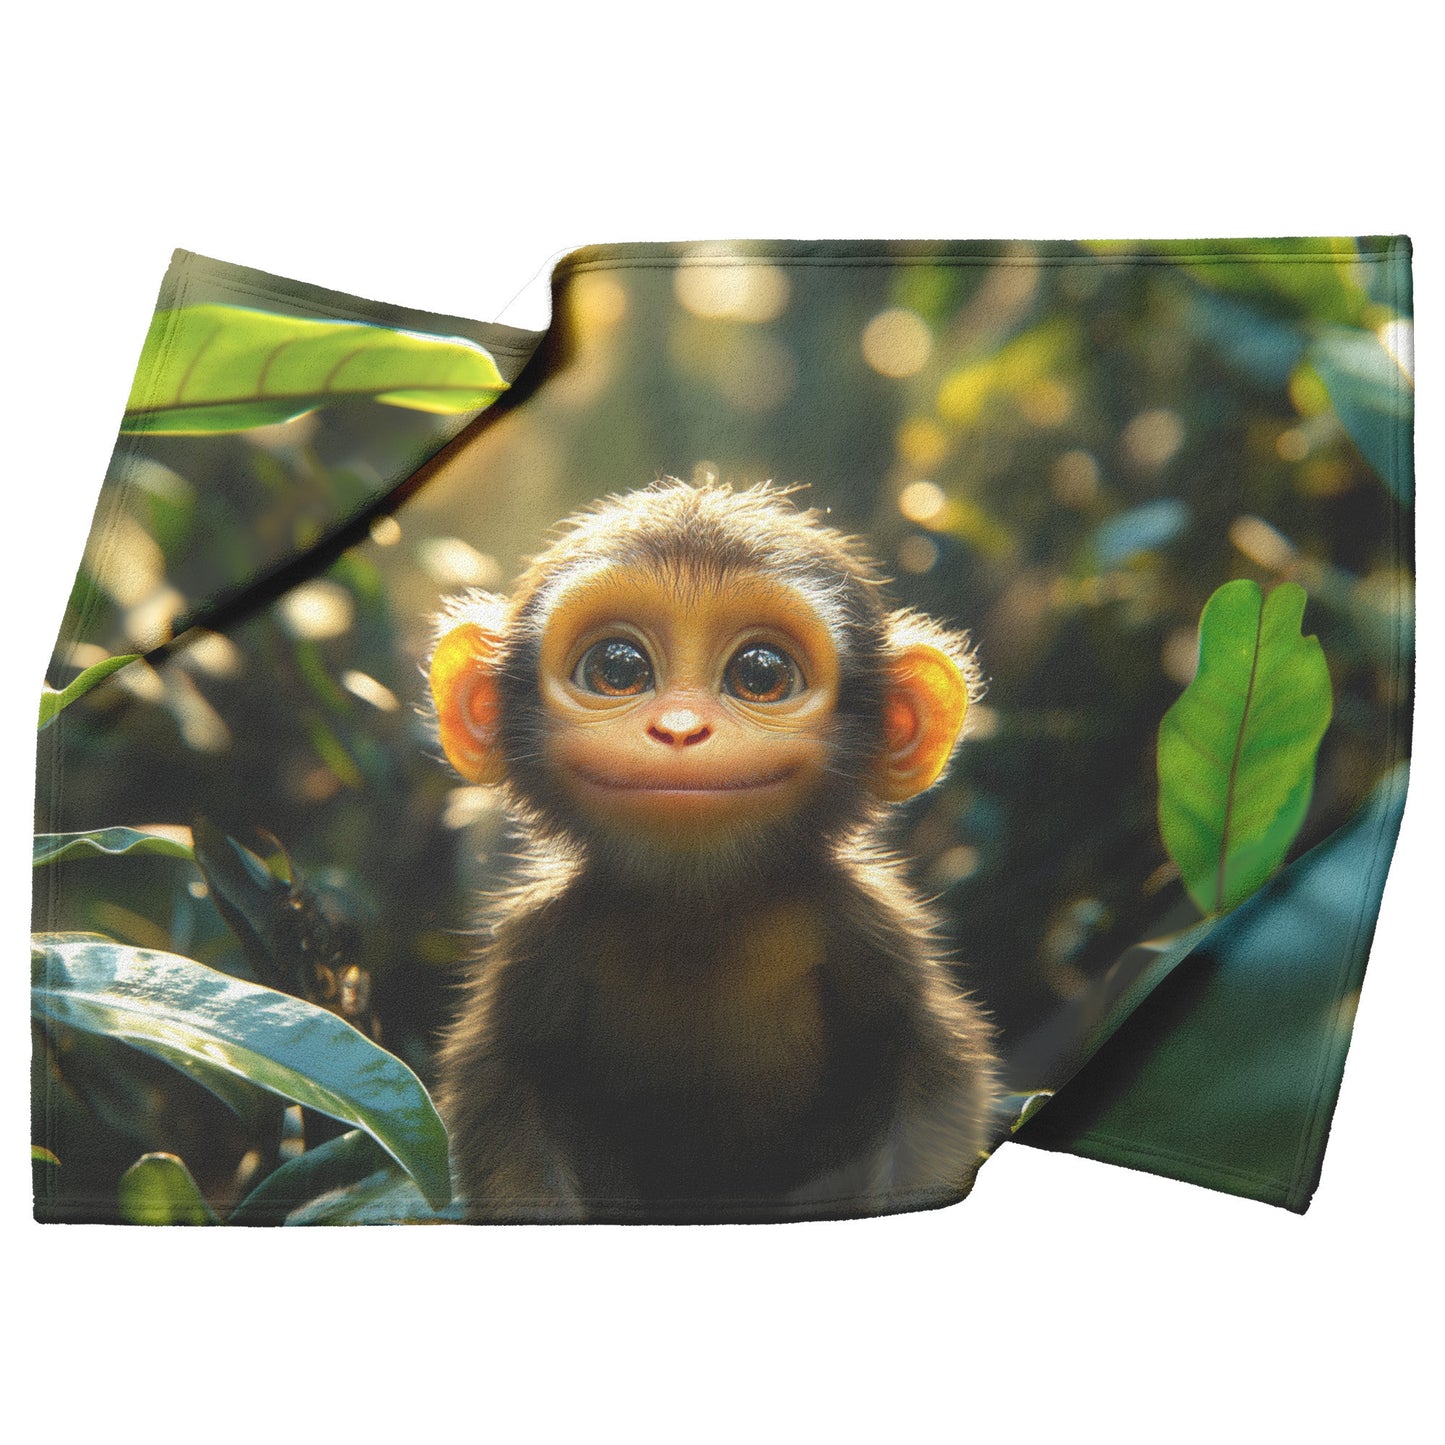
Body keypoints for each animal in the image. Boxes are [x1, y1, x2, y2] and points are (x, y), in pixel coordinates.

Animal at [427, 480, 999, 1221]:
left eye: (760, 675)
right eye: (617, 668)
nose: (679, 728)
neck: (699, 913)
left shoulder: (864, 923)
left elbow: (933, 1055)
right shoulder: (541, 939)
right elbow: (503, 1082)